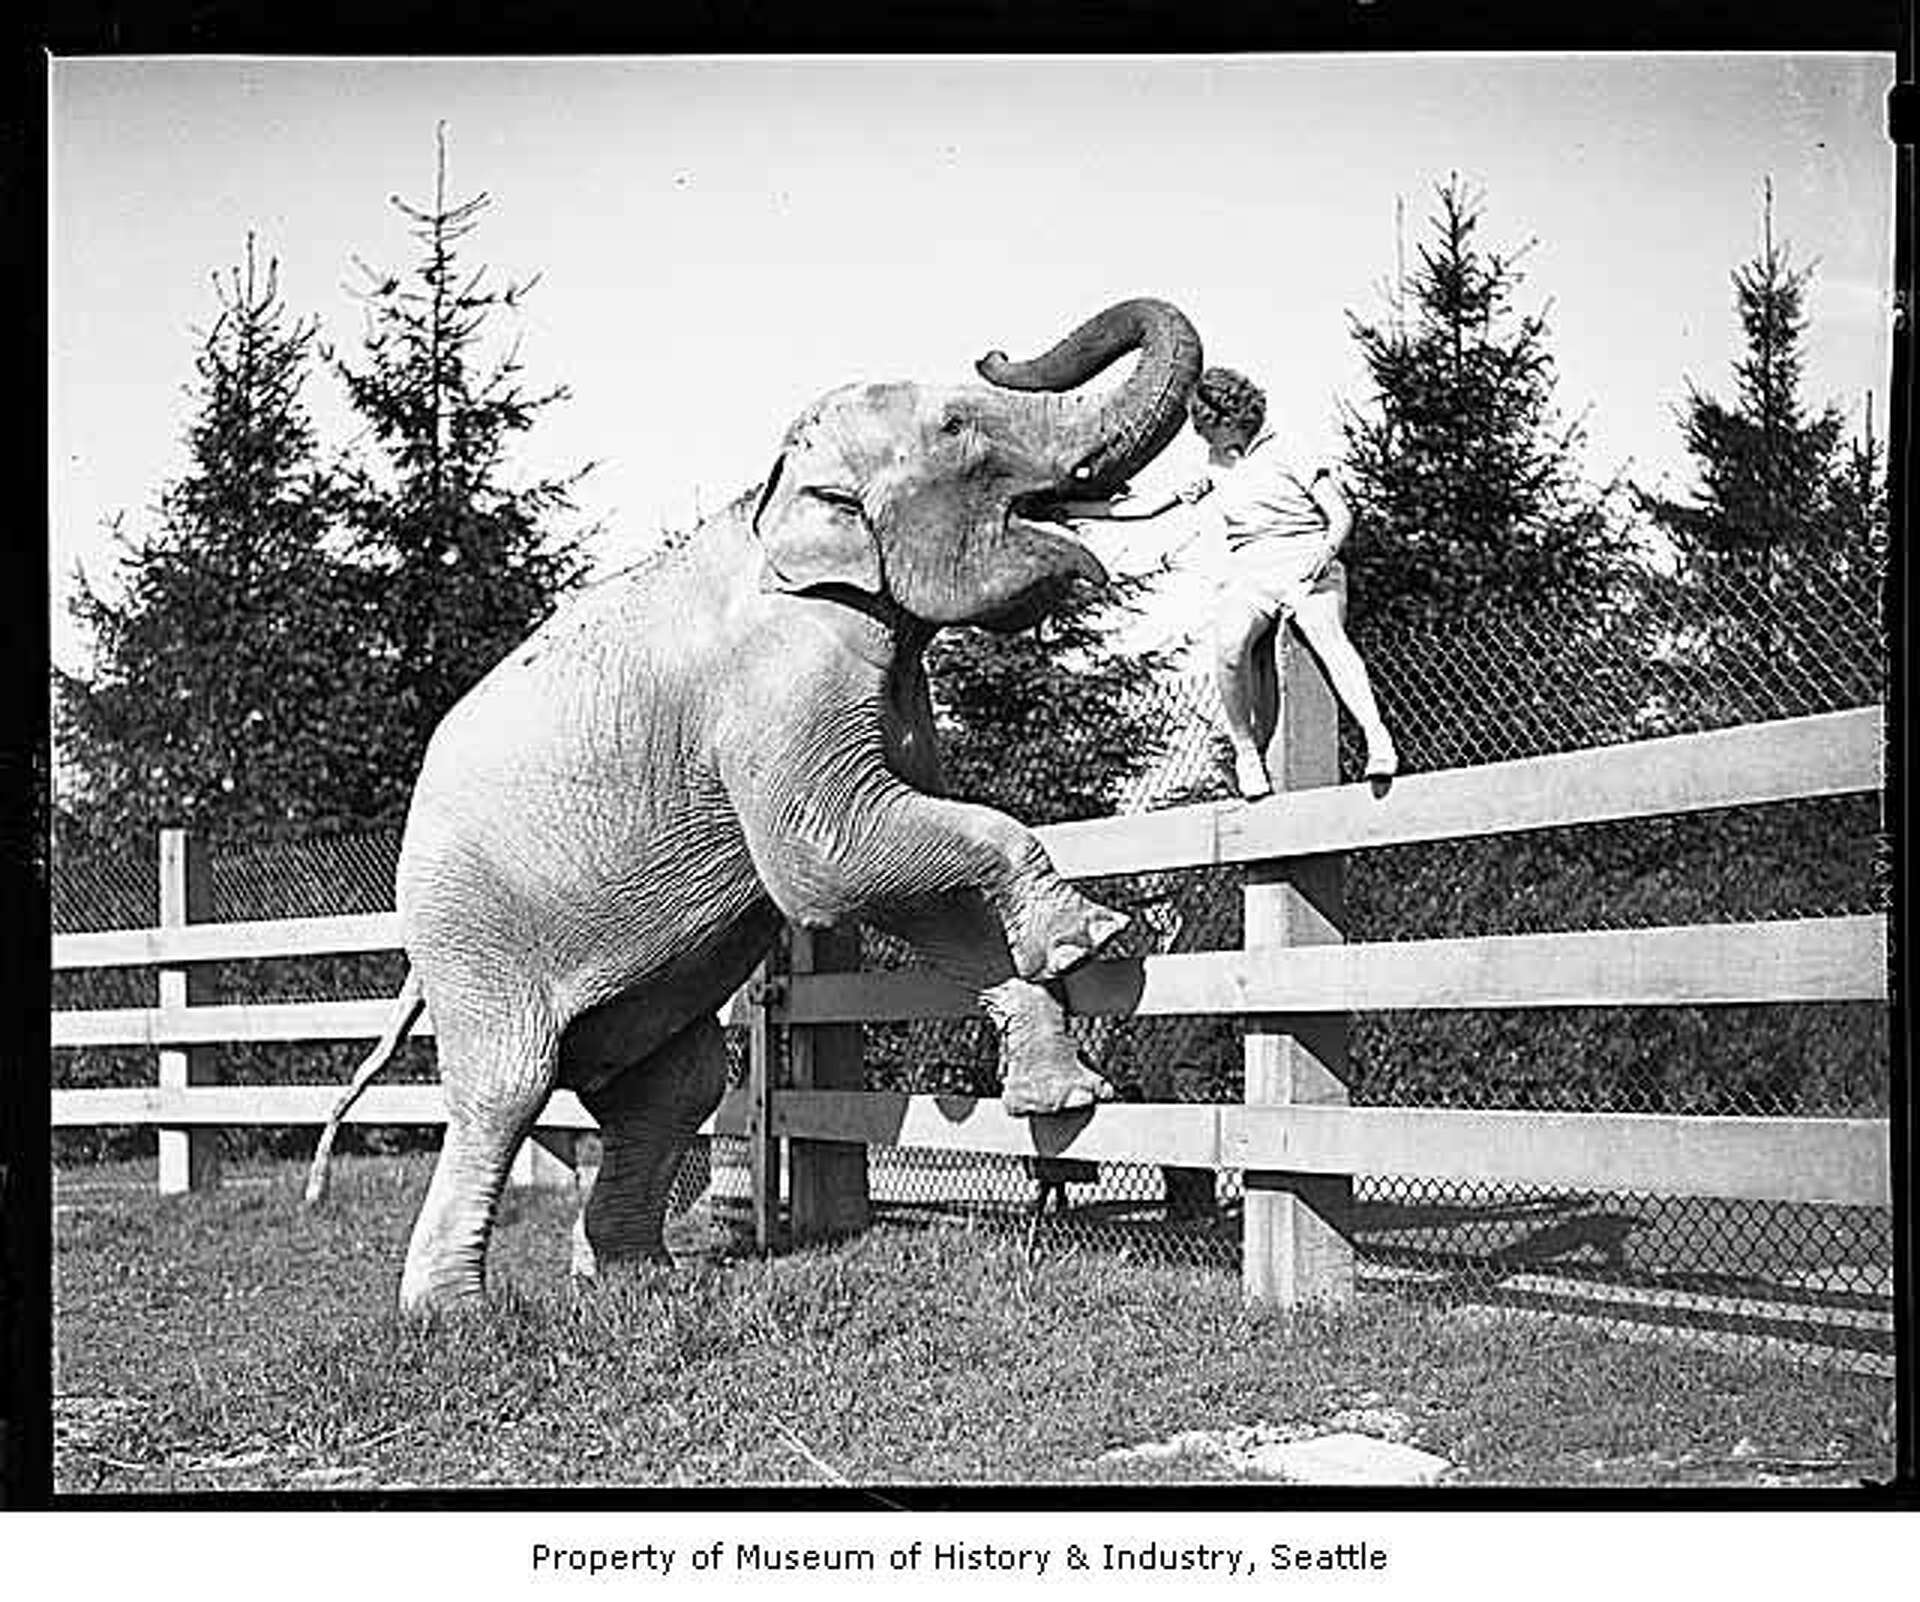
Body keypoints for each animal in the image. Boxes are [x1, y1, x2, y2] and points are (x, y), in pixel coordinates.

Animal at [303, 297, 1204, 1312]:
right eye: (957, 427)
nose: (997, 348)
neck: (776, 490)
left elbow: (923, 897)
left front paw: (1065, 1095)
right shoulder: (783, 676)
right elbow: (829, 867)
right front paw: (1097, 932)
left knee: (675, 1090)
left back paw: (634, 1280)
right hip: (476, 936)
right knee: (507, 1087)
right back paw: (454, 1315)